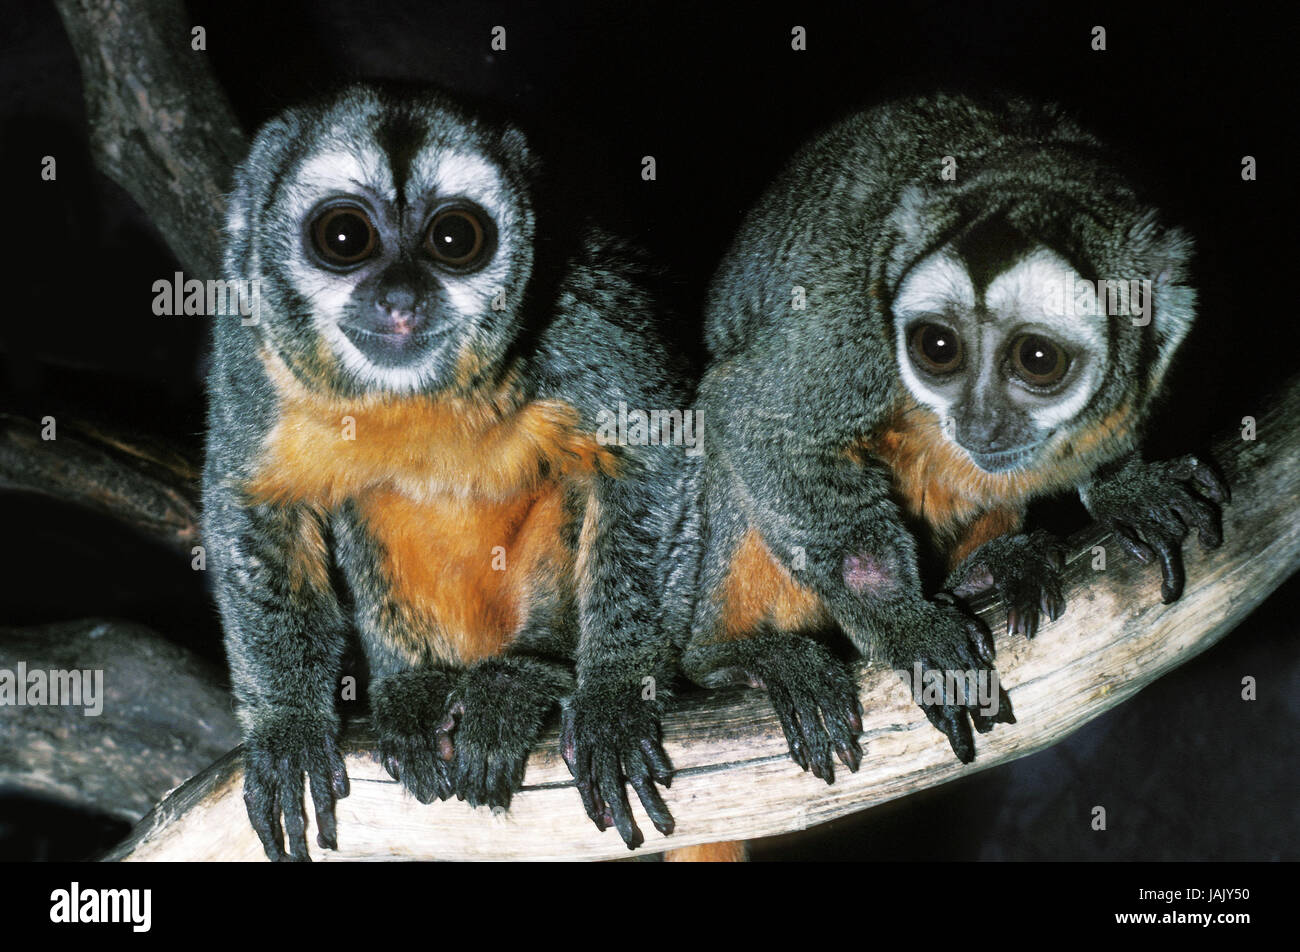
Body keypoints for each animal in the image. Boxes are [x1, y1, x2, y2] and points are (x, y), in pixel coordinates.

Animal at [203, 83, 690, 860]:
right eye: (344, 238)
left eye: (456, 238)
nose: (401, 299)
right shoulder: (249, 348)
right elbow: (252, 499)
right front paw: (288, 726)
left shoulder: (585, 316)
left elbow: (657, 450)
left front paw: (614, 694)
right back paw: (418, 691)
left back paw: (525, 676)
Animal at [675, 92, 1228, 810]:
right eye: (938, 347)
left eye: (1038, 359)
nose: (980, 421)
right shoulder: (853, 323)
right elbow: (754, 416)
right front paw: (911, 632)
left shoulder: (1170, 280)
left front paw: (1127, 489)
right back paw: (738, 659)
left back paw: (988, 569)